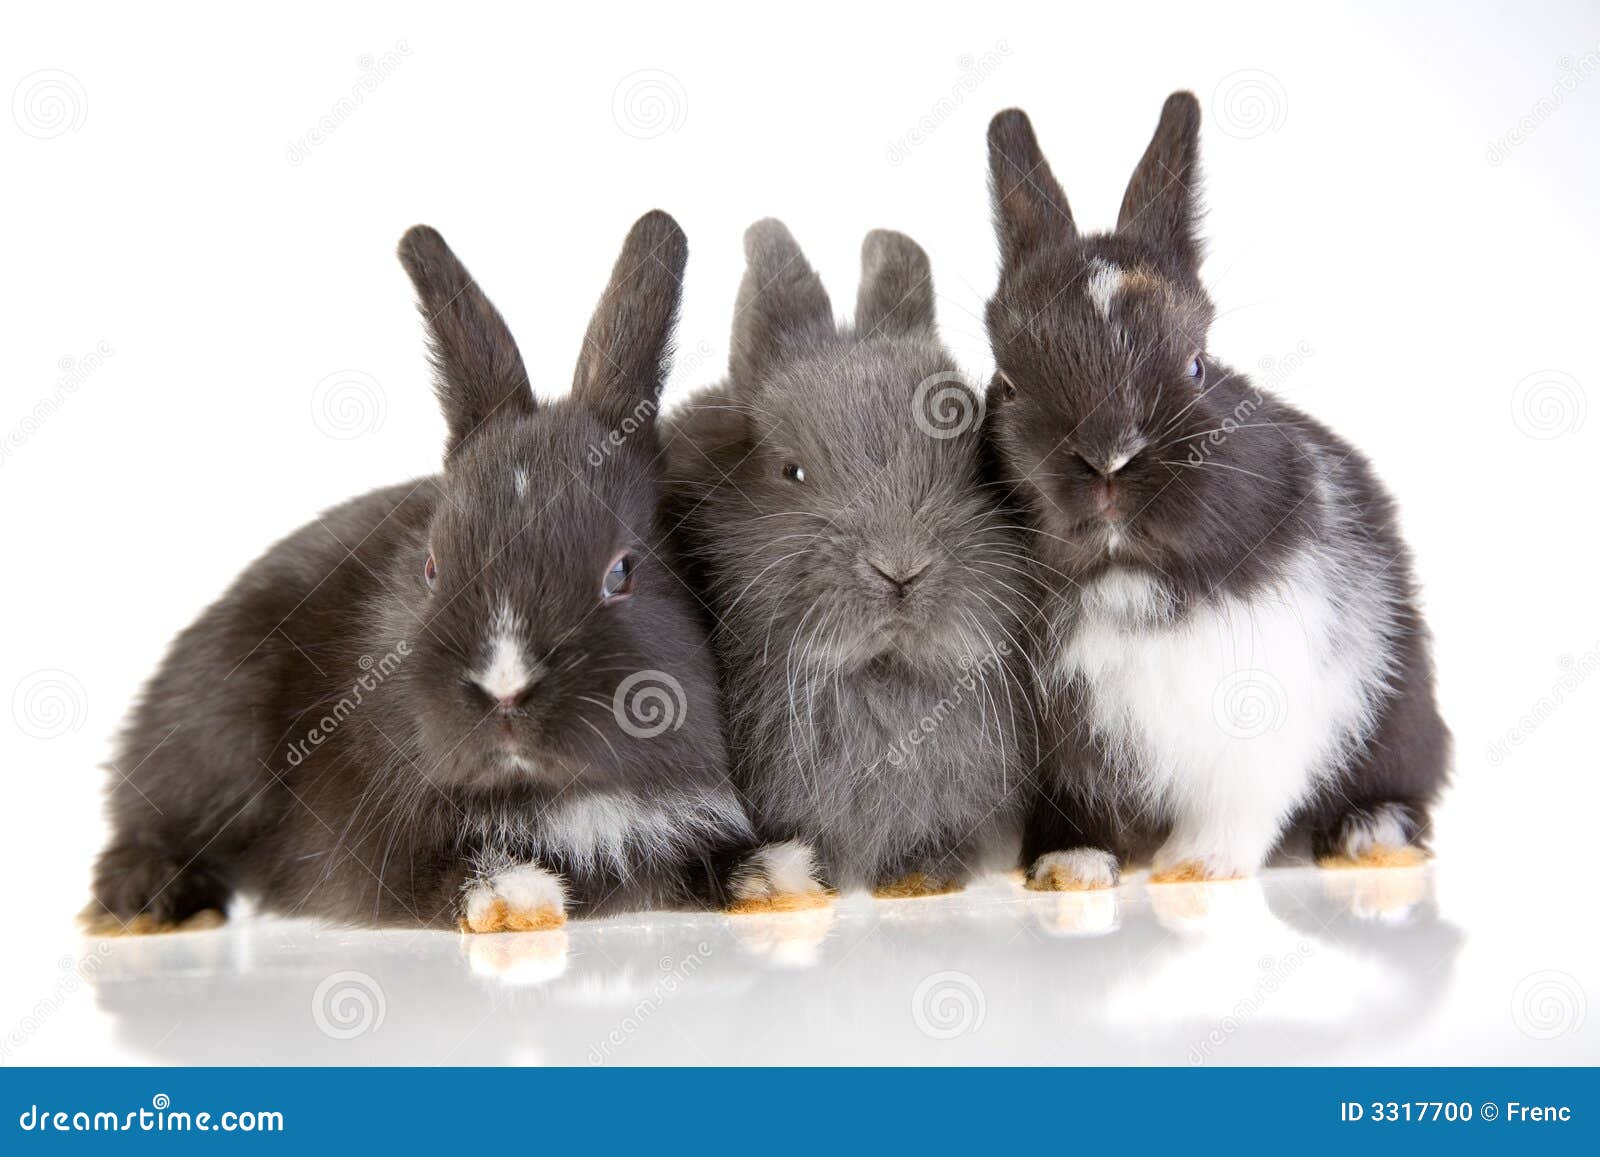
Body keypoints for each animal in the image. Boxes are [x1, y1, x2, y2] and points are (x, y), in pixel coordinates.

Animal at [84, 211, 764, 934]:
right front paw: (517, 901)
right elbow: (450, 875)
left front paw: (775, 874)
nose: (504, 690)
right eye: (433, 566)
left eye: (622, 572)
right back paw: (149, 906)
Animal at [980, 93, 1451, 890]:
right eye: (1007, 385)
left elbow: (1235, 812)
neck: (1122, 578)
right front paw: (1070, 868)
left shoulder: (1263, 728)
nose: (1110, 457)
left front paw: (1193, 867)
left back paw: (1372, 836)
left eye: (1197, 366)